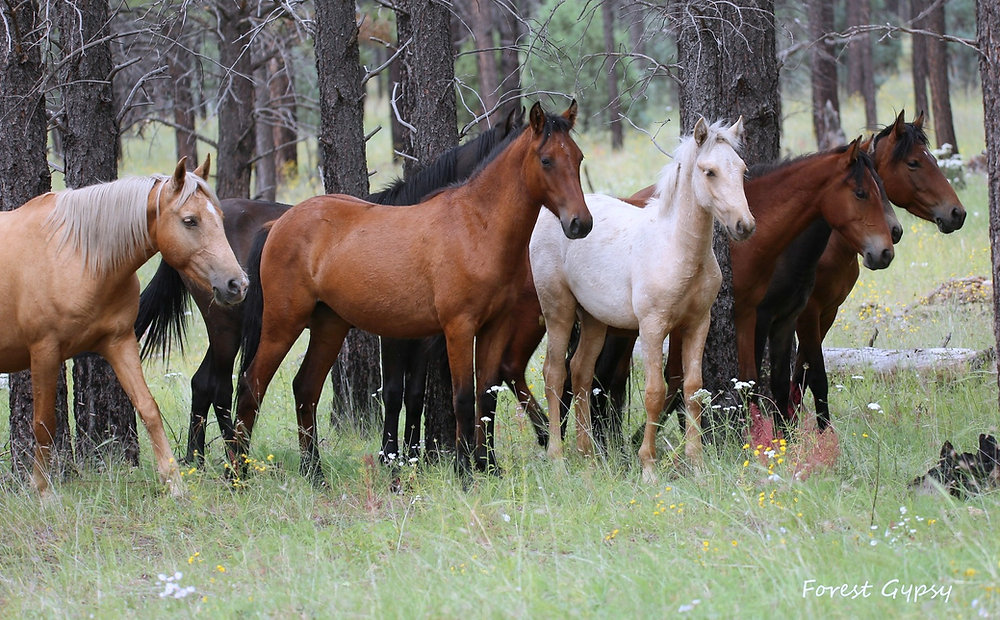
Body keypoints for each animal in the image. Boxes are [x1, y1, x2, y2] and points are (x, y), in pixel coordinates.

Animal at [0, 156, 247, 497]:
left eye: (220, 218)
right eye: (190, 221)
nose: (237, 284)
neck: (79, 256)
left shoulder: (119, 342)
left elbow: (148, 409)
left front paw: (174, 483)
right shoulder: (44, 351)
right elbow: (44, 424)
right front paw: (43, 490)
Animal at [134, 107, 526, 466]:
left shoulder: (423, 336)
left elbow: (415, 394)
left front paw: (414, 456)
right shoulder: (394, 335)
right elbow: (394, 392)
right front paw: (390, 456)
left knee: (204, 383)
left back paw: (198, 459)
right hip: (226, 327)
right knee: (220, 385)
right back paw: (228, 455)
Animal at [232, 101, 591, 479]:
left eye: (578, 157)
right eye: (546, 160)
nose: (580, 223)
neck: (476, 226)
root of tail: (277, 224)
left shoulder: (494, 328)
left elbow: (486, 395)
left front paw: (488, 466)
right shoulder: (456, 329)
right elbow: (461, 397)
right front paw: (463, 471)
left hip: (329, 324)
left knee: (305, 388)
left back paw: (314, 473)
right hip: (282, 324)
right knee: (251, 385)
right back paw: (237, 473)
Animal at [529, 117, 754, 481]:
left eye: (742, 170)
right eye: (709, 172)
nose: (744, 226)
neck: (676, 249)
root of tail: (553, 216)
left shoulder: (698, 324)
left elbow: (693, 390)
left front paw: (697, 464)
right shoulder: (652, 327)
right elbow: (654, 393)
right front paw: (648, 465)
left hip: (594, 319)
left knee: (580, 373)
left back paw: (588, 457)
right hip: (558, 310)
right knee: (554, 374)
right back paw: (558, 458)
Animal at [789, 111, 966, 427]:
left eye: (933, 159)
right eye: (914, 162)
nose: (956, 213)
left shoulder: (827, 312)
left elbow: (802, 375)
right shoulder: (807, 312)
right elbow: (817, 377)